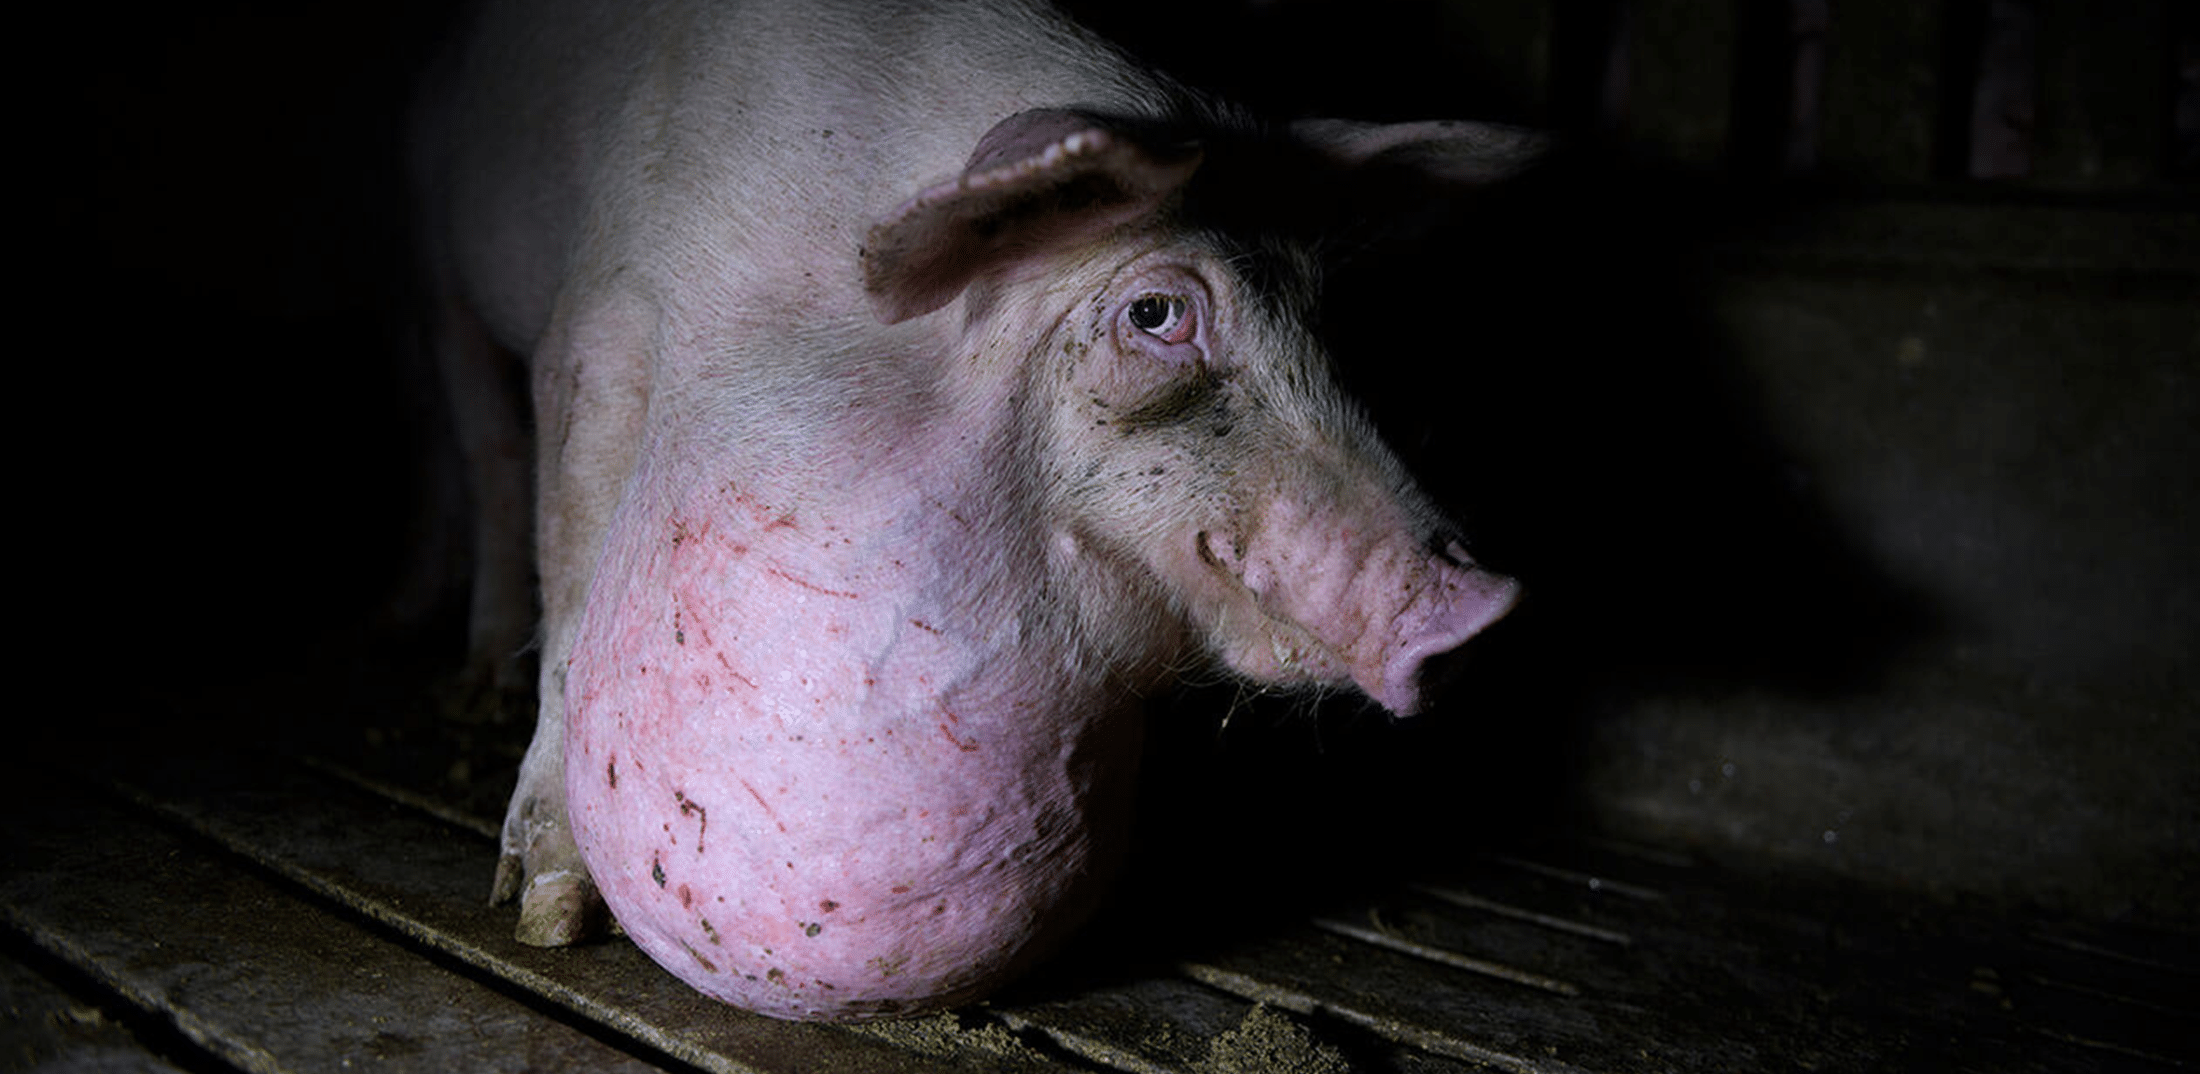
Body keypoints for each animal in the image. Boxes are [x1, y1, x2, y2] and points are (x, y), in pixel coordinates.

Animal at [414, 0, 1532, 1022]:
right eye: (1156, 313)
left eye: (1316, 318)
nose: (1482, 603)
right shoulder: (596, 334)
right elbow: (569, 577)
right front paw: (550, 918)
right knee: (483, 450)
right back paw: (470, 688)